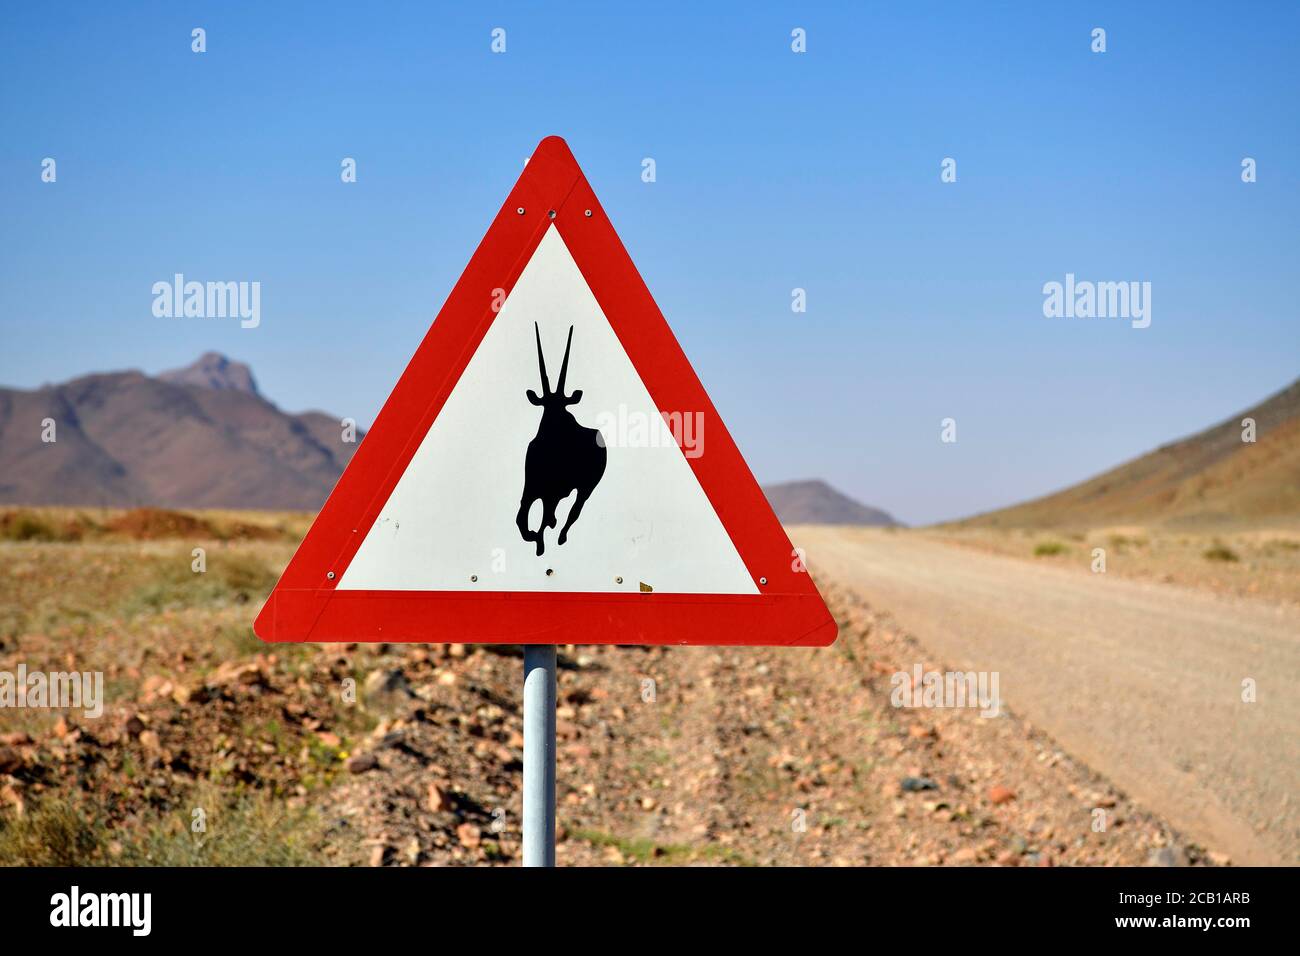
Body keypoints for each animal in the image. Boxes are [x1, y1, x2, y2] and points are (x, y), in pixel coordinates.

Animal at [516, 322, 607, 556]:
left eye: (561, 406)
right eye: (545, 405)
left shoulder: (552, 492)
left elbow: (544, 518)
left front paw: (540, 539)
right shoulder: (531, 489)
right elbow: (522, 519)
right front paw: (536, 538)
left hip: (585, 488)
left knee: (574, 511)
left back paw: (560, 536)